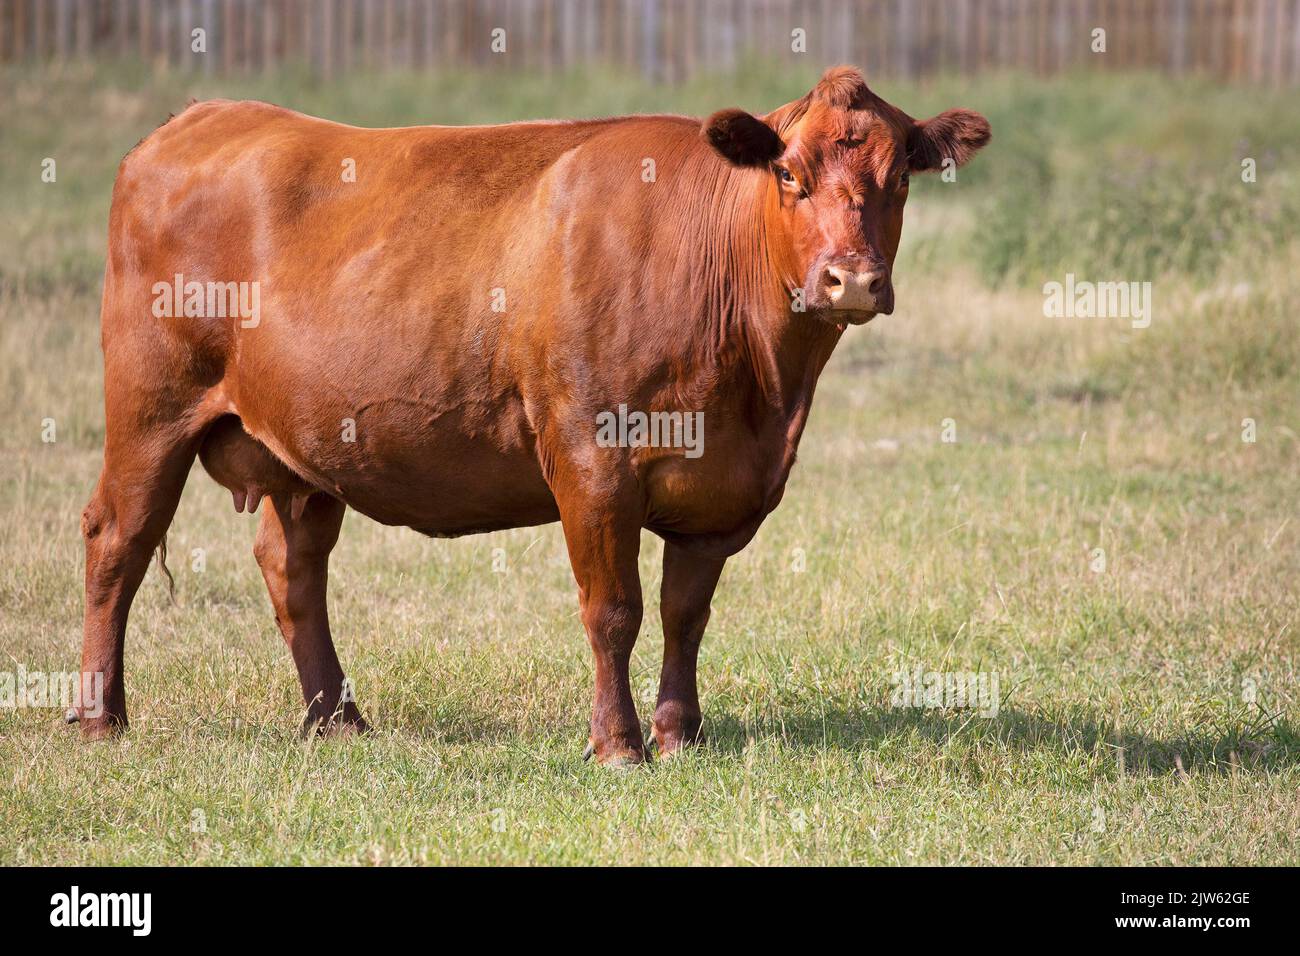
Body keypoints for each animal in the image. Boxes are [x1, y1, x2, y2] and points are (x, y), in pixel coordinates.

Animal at [75, 66, 989, 765]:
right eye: (790, 176)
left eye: (899, 181)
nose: (852, 279)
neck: (763, 387)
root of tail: (205, 114)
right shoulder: (592, 460)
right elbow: (613, 610)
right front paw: (617, 745)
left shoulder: (721, 489)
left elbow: (685, 614)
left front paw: (680, 736)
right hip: (150, 408)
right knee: (118, 541)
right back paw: (99, 716)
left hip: (305, 445)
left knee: (292, 566)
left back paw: (337, 719)